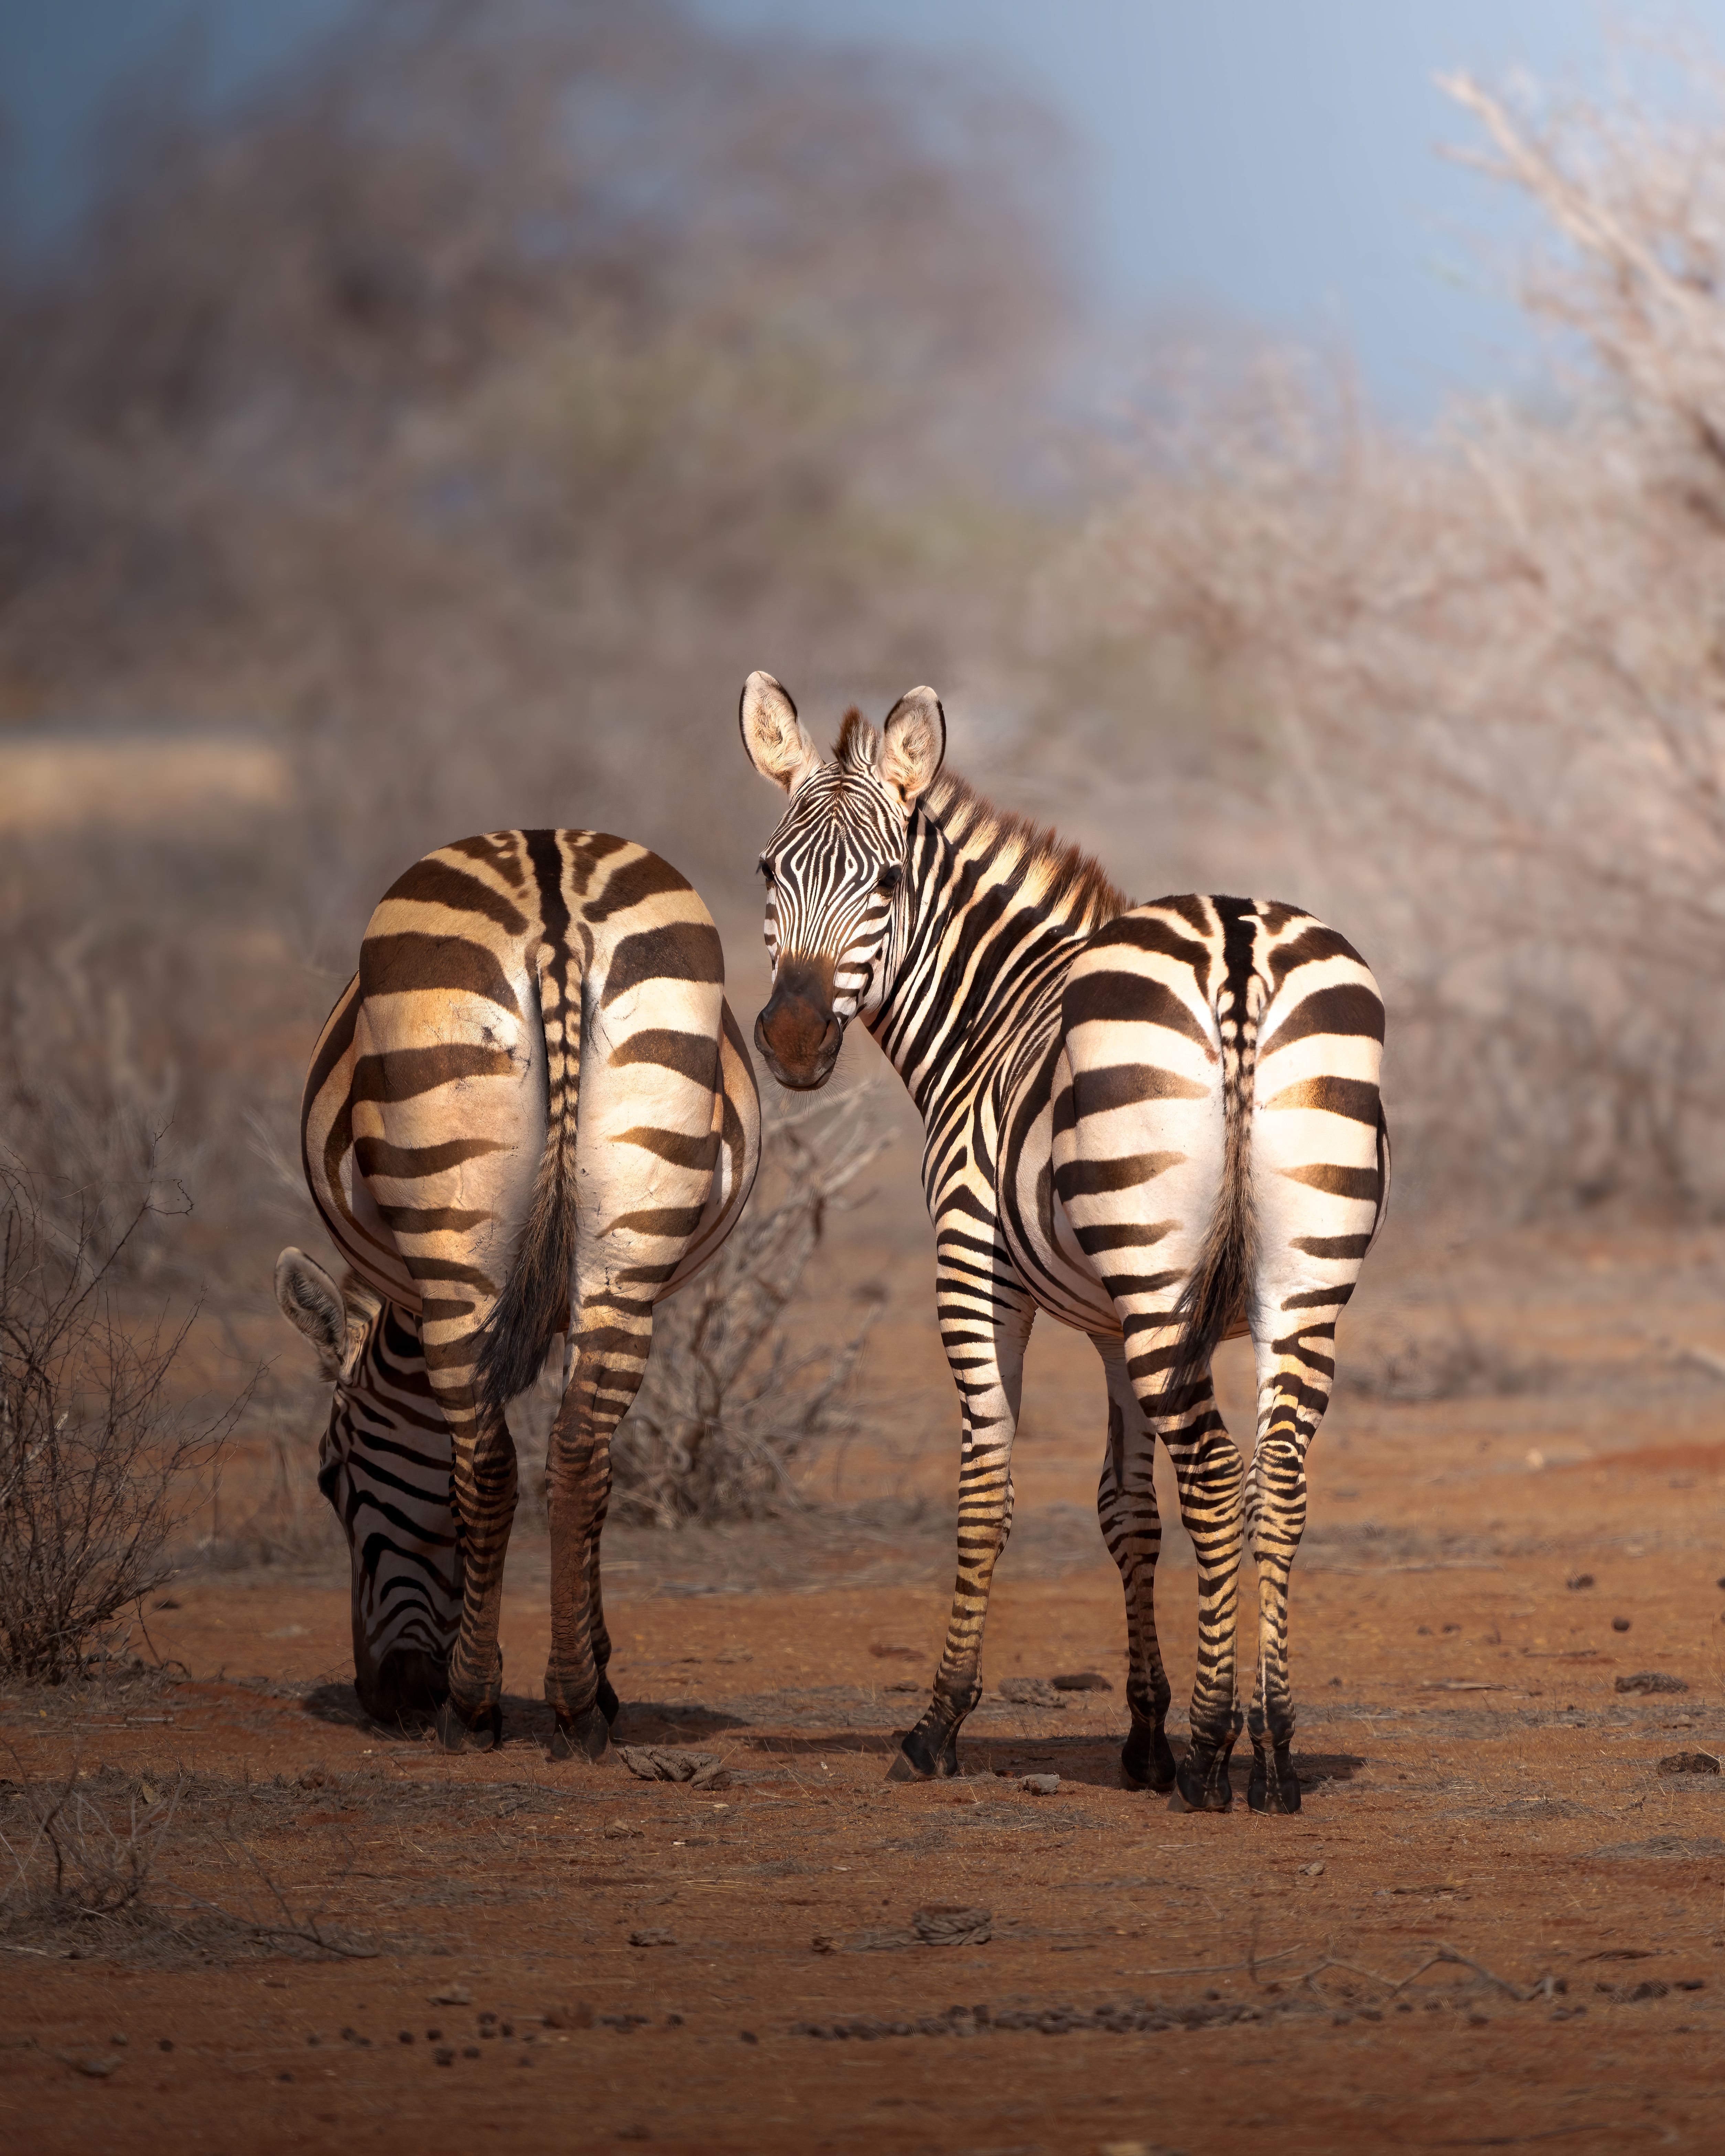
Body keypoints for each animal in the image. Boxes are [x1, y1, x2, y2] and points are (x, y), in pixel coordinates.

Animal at [274, 828, 760, 1755]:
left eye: (327, 1476)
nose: (387, 1696)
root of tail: (552, 891)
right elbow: (600, 1470)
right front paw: (600, 1672)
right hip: (626, 1234)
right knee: (575, 1452)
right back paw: (574, 1703)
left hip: (457, 1231)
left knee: (489, 1463)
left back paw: (473, 1706)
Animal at [738, 673, 1388, 1814]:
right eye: (771, 872)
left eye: (888, 880)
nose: (792, 1040)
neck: (990, 1012)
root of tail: (1238, 941)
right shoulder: (1113, 1325)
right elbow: (1126, 1508)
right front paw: (1142, 1735)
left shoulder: (978, 1267)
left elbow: (986, 1491)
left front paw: (938, 1723)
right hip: (1293, 1284)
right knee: (1275, 1483)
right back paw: (1272, 1751)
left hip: (1157, 1278)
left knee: (1216, 1477)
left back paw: (1216, 1752)